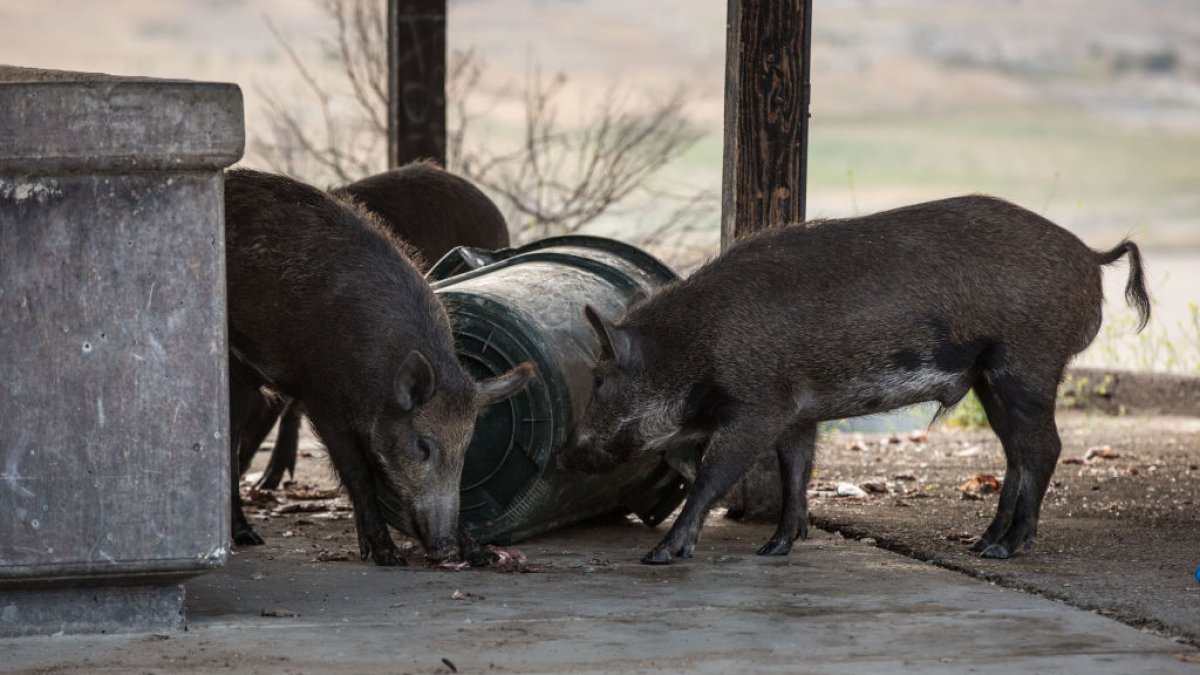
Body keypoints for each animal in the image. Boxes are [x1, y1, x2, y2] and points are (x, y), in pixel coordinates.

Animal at [224, 169, 533, 564]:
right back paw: (250, 536)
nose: (446, 548)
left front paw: (481, 555)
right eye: (423, 446)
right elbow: (359, 474)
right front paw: (387, 555)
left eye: (466, 449)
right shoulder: (321, 398)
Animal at [558, 195, 1150, 565]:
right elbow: (796, 470)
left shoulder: (758, 406)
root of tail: (1091, 254)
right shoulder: (797, 411)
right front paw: (775, 549)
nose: (564, 453)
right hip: (991, 377)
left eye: (601, 378)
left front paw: (659, 556)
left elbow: (713, 475)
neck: (694, 349)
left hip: (1027, 364)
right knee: (1017, 454)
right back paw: (981, 545)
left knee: (1045, 448)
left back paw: (1008, 550)